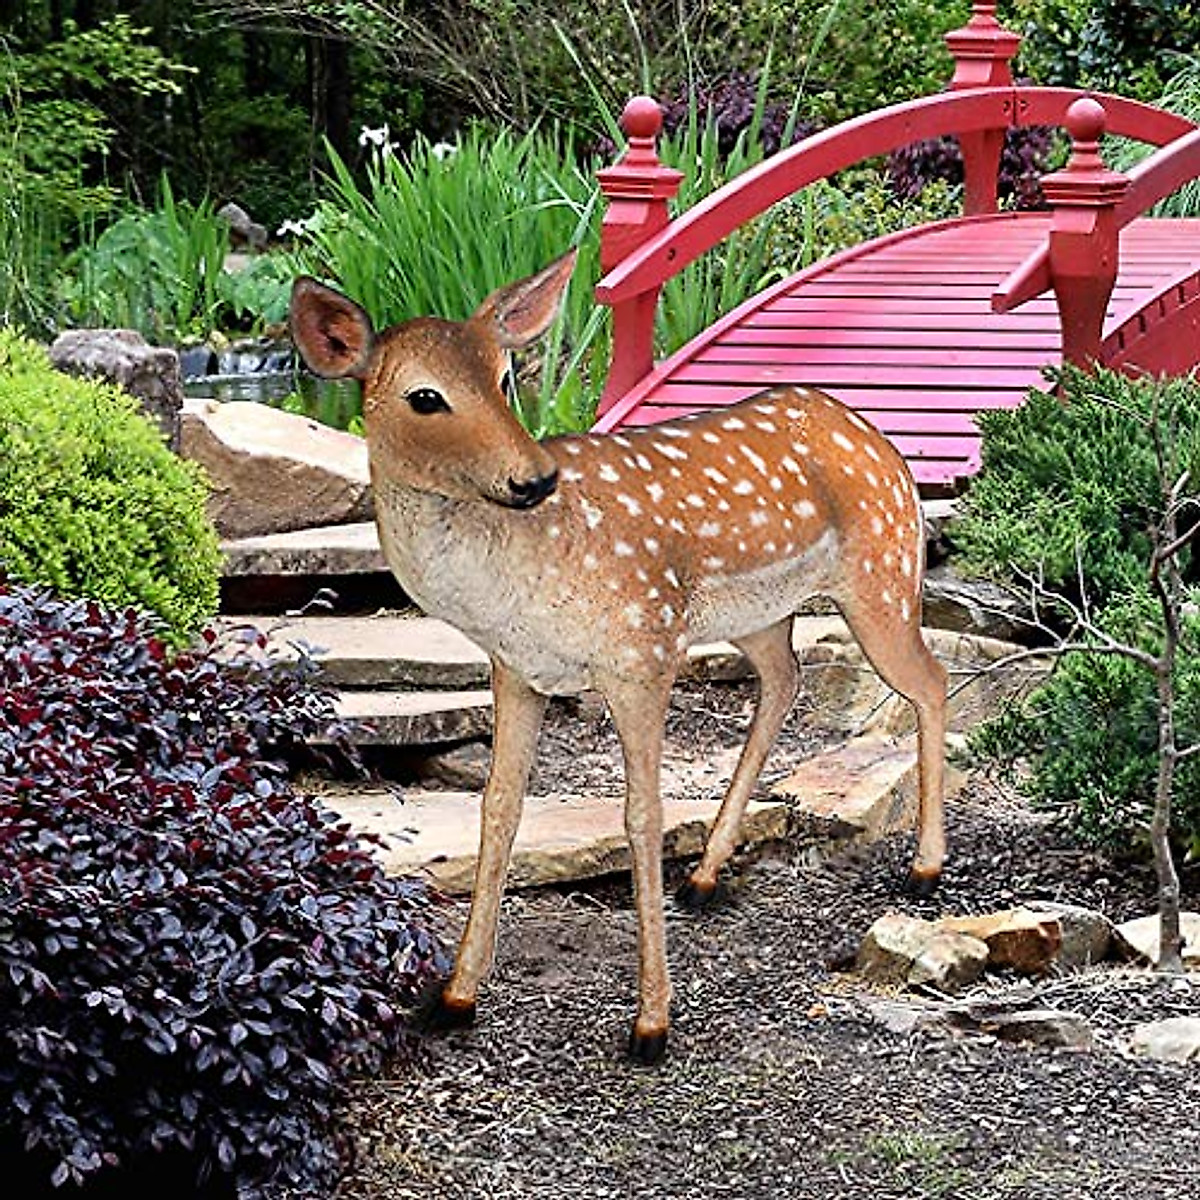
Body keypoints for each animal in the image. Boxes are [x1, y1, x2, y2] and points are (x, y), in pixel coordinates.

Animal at [289, 250, 947, 1065]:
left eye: (505, 377)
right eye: (424, 397)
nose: (535, 477)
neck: (517, 574)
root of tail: (880, 440)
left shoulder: (642, 647)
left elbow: (642, 815)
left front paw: (651, 1025)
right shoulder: (517, 669)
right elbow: (499, 808)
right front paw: (453, 997)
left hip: (882, 573)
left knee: (930, 680)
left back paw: (923, 869)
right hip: (758, 614)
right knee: (784, 677)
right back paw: (704, 878)